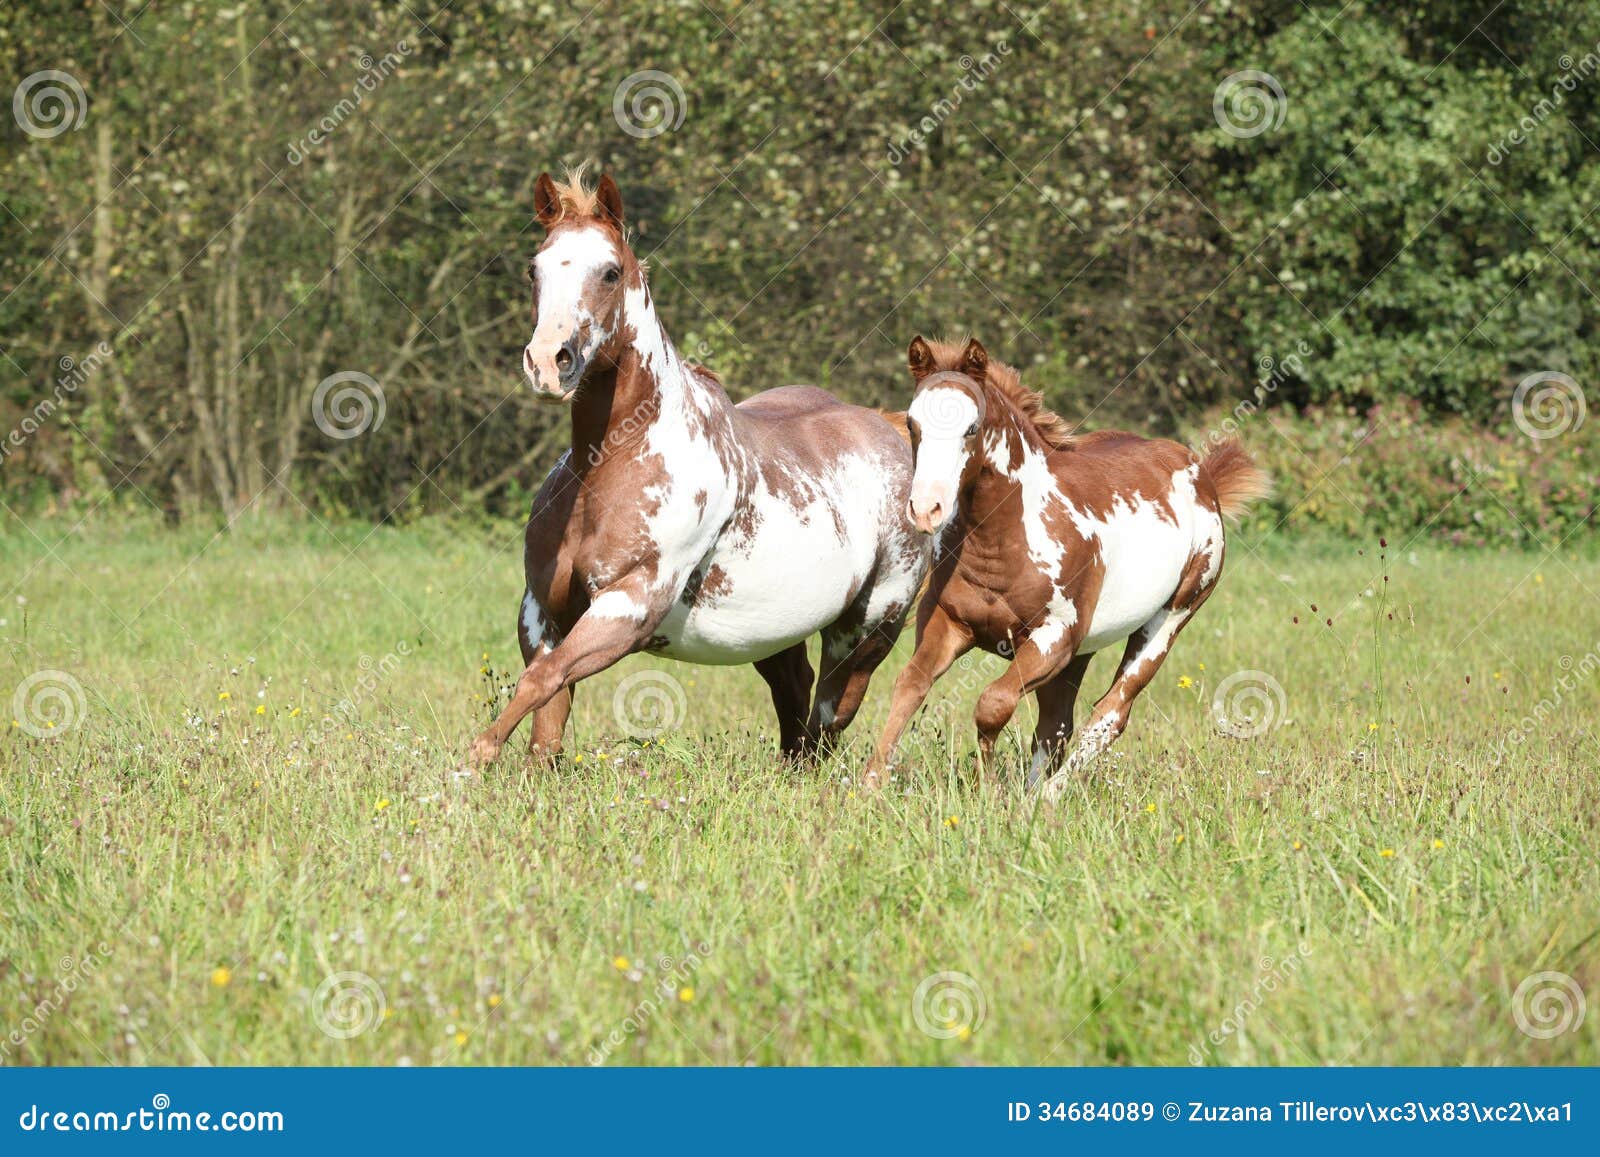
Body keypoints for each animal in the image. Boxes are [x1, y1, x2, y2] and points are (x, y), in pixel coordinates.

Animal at [467, 169, 929, 766]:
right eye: (534, 268)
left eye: (611, 272)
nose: (549, 362)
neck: (604, 472)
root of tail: (892, 430)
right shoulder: (543, 610)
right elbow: (548, 708)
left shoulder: (631, 604)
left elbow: (539, 683)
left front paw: (475, 757)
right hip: (773, 633)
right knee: (796, 697)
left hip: (868, 630)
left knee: (830, 716)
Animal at [863, 336, 1269, 800]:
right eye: (913, 424)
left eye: (971, 427)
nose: (926, 509)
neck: (1001, 542)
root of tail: (1201, 473)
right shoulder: (950, 625)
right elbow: (910, 686)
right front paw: (870, 786)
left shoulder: (1053, 638)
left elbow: (991, 705)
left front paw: (990, 790)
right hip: (1080, 653)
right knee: (1057, 725)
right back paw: (1034, 793)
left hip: (1167, 621)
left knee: (1111, 713)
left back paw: (1048, 795)